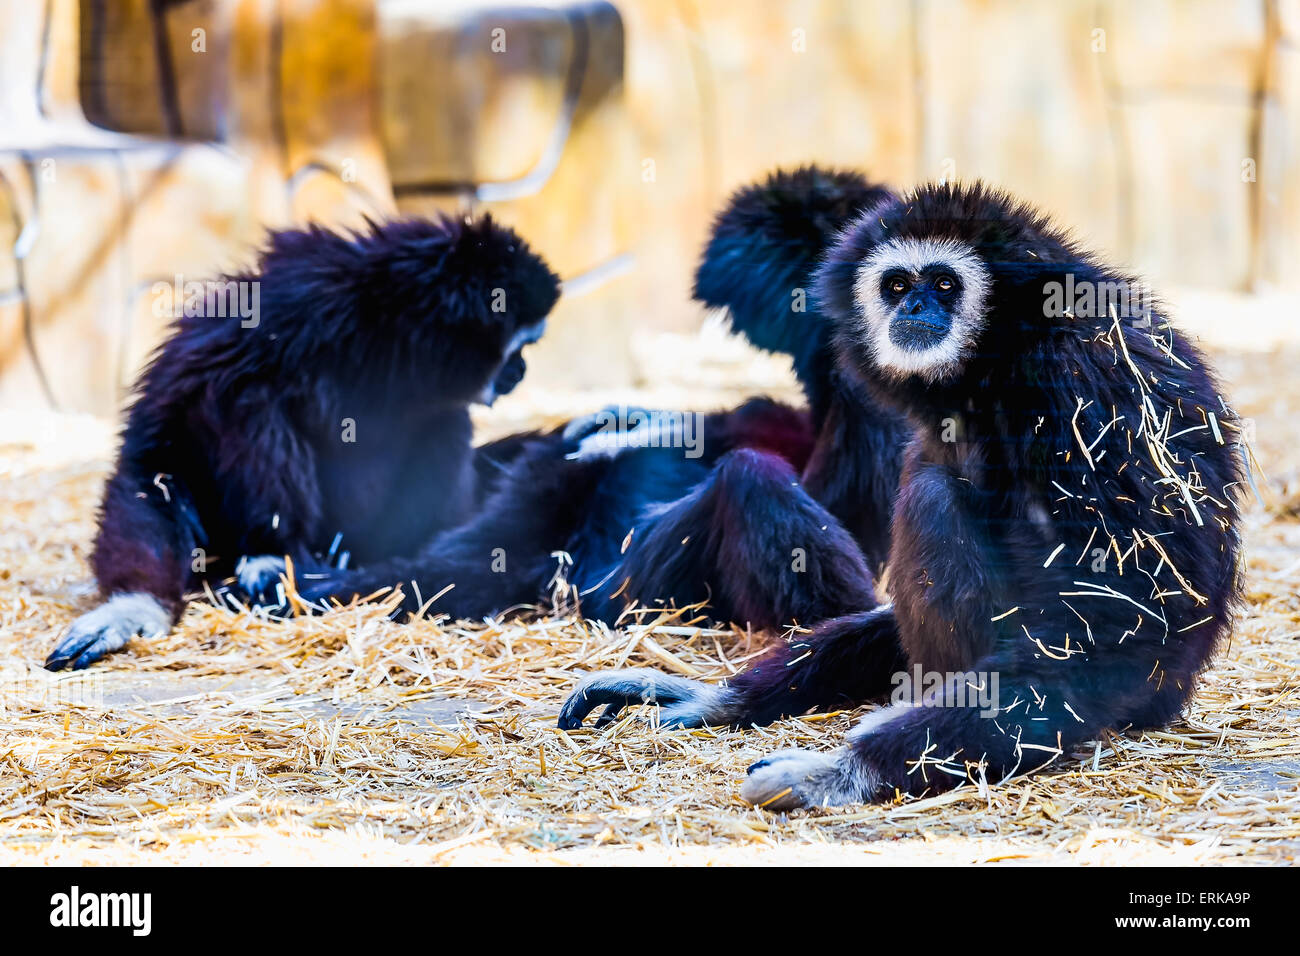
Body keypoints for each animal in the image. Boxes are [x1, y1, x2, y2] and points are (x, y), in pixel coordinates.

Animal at [45, 215, 560, 670]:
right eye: (520, 347)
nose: (520, 371)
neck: (389, 346)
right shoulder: (268, 313)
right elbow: (155, 464)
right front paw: (131, 606)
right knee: (245, 394)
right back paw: (272, 552)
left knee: (443, 420)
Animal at [559, 181, 1245, 812]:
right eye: (895, 286)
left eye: (943, 284)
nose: (914, 306)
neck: (1010, 346)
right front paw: (709, 696)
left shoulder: (1085, 387)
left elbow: (1119, 619)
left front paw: (836, 771)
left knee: (932, 494)